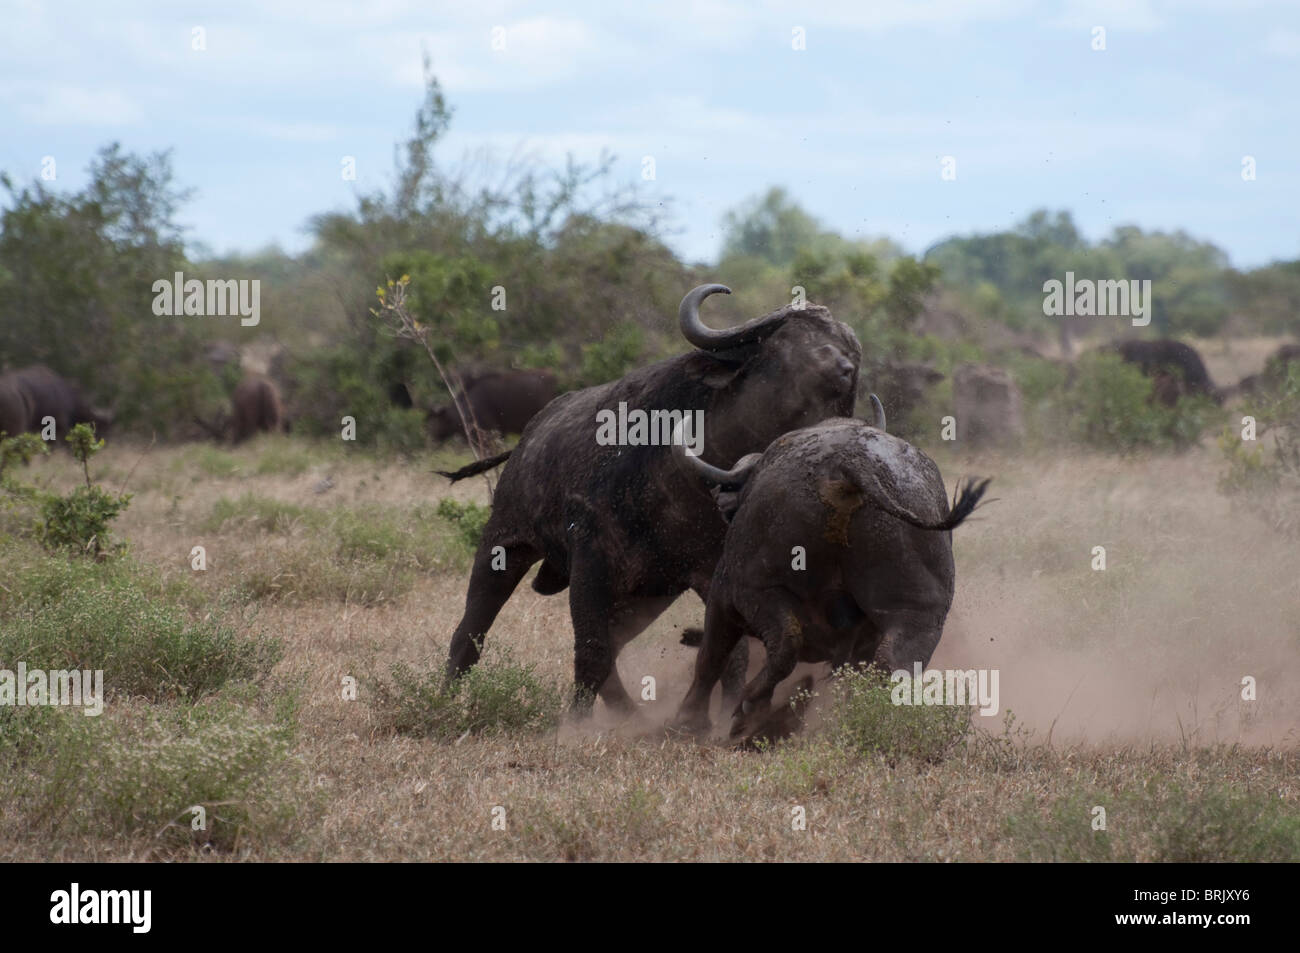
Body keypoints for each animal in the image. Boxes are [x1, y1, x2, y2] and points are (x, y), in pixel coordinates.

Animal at [442, 284, 862, 714]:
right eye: (789, 339)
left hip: (645, 598)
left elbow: (730, 655)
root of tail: (530, 435)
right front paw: (574, 724)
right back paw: (444, 701)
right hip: (503, 545)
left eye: (849, 346)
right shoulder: (591, 562)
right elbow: (590, 653)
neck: (685, 482)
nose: (843, 369)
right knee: (468, 636)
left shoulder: (711, 573)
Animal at [671, 403, 989, 741]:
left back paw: (748, 712)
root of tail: (850, 465)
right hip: (921, 611)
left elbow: (711, 657)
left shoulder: (722, 597)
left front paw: (688, 721)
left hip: (754, 591)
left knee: (784, 645)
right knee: (893, 664)